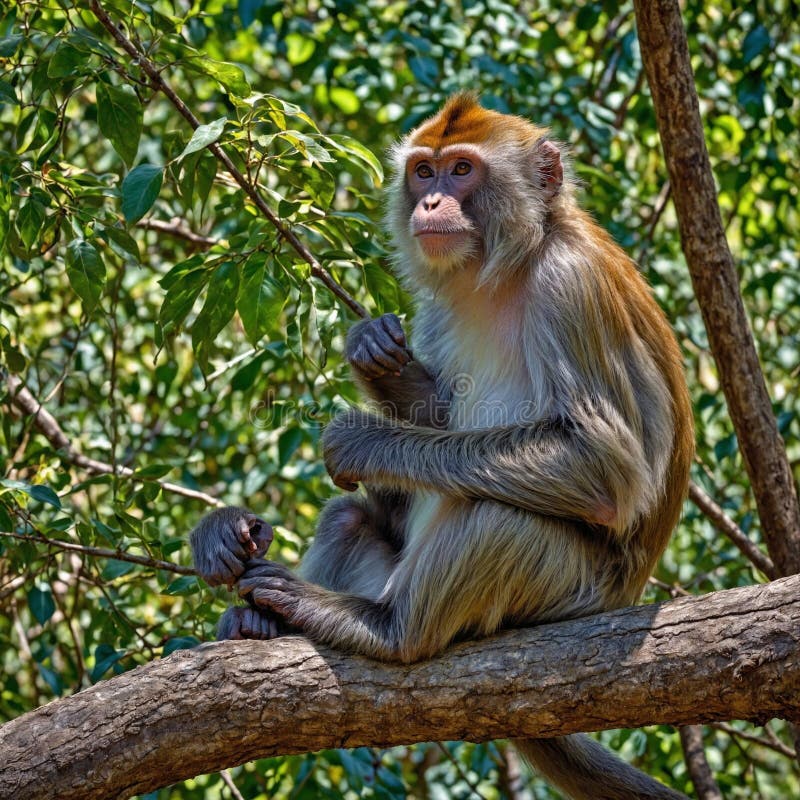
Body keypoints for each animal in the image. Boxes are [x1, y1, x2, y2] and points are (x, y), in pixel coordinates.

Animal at [189, 94, 694, 800]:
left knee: (498, 515)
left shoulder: (570, 287)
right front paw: (375, 356)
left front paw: (363, 438)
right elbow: (438, 412)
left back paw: (387, 629)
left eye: (462, 170)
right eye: (424, 172)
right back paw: (260, 621)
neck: (510, 264)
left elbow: (606, 465)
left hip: (569, 589)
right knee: (351, 519)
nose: (430, 203)